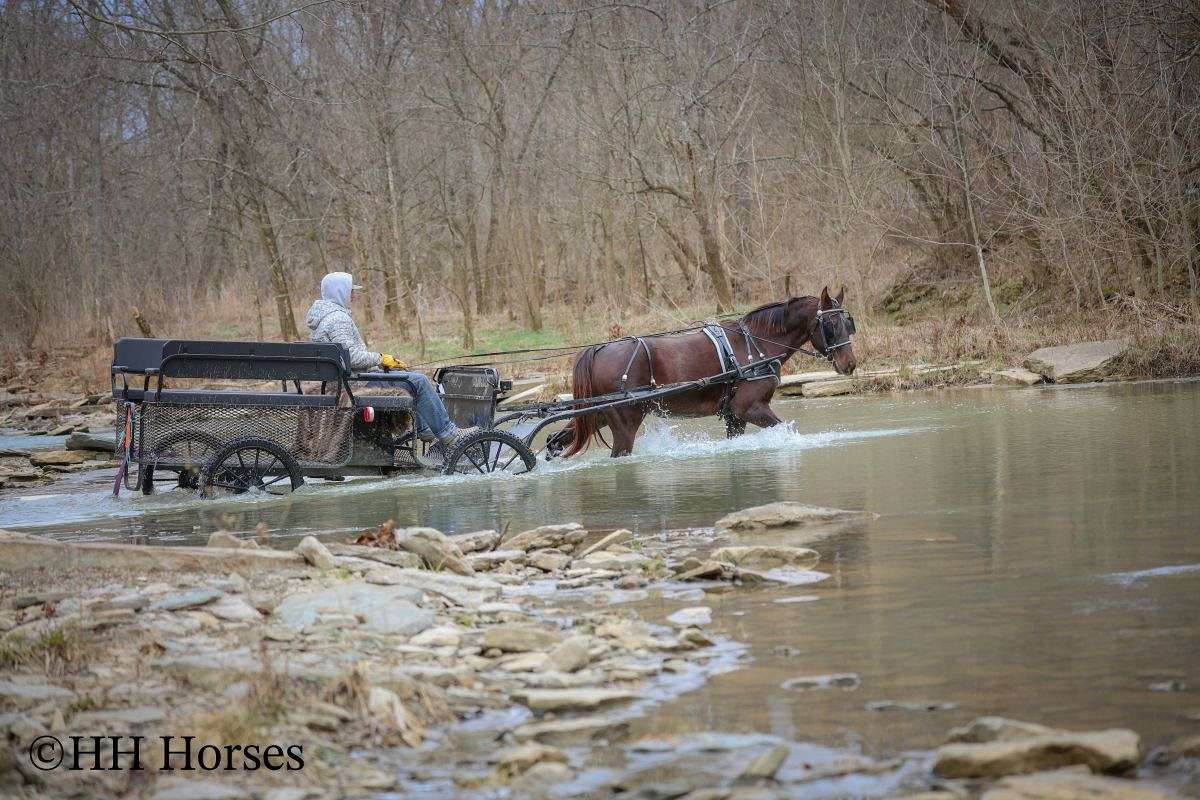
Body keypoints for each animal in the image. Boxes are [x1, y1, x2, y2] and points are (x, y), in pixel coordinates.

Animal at [550, 286, 858, 458]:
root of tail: (598, 349)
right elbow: (786, 431)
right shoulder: (750, 408)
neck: (756, 344)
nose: (850, 363)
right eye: (830, 324)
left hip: (598, 414)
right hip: (625, 422)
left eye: (848, 323)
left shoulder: (734, 416)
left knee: (557, 439)